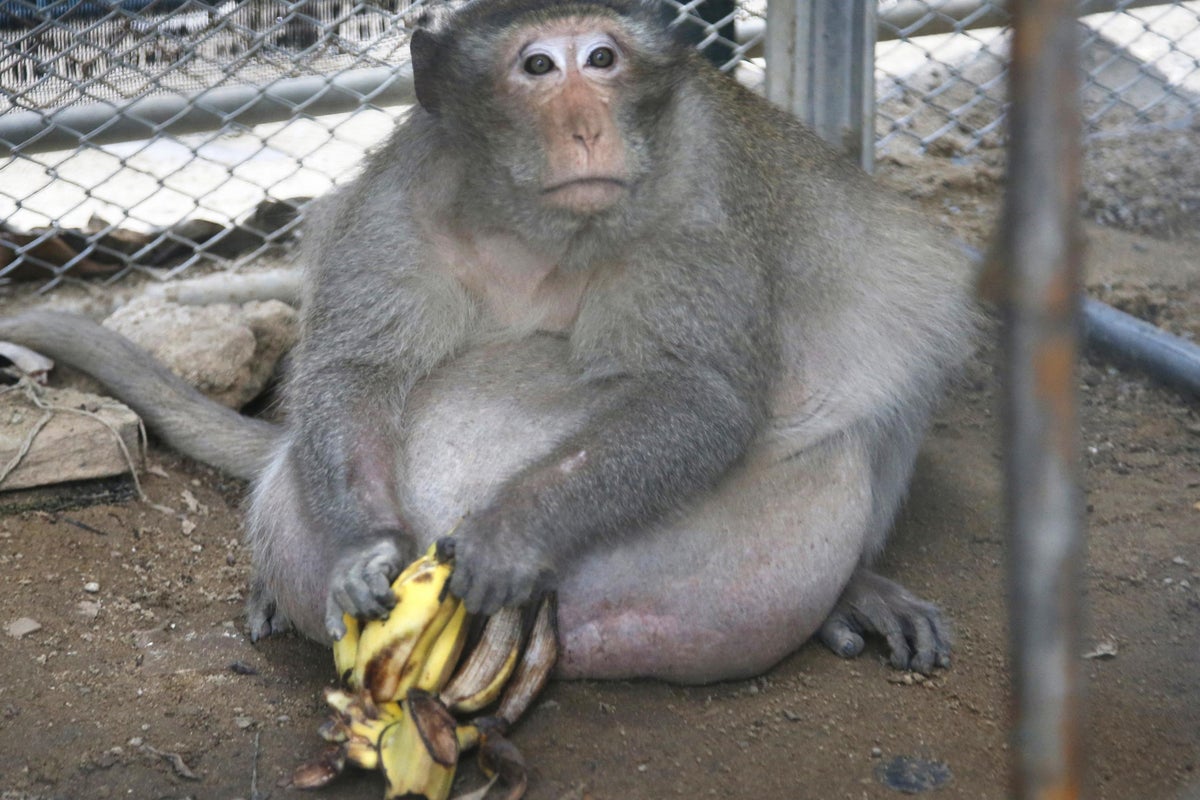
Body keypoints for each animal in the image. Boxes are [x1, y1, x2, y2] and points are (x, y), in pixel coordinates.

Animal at [0, 0, 976, 684]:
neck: (537, 227)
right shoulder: (397, 207)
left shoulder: (695, 214)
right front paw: (364, 551)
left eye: (603, 58)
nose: (587, 125)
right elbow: (356, 369)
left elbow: (698, 394)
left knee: (903, 312)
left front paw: (511, 532)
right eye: (538, 66)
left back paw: (854, 588)